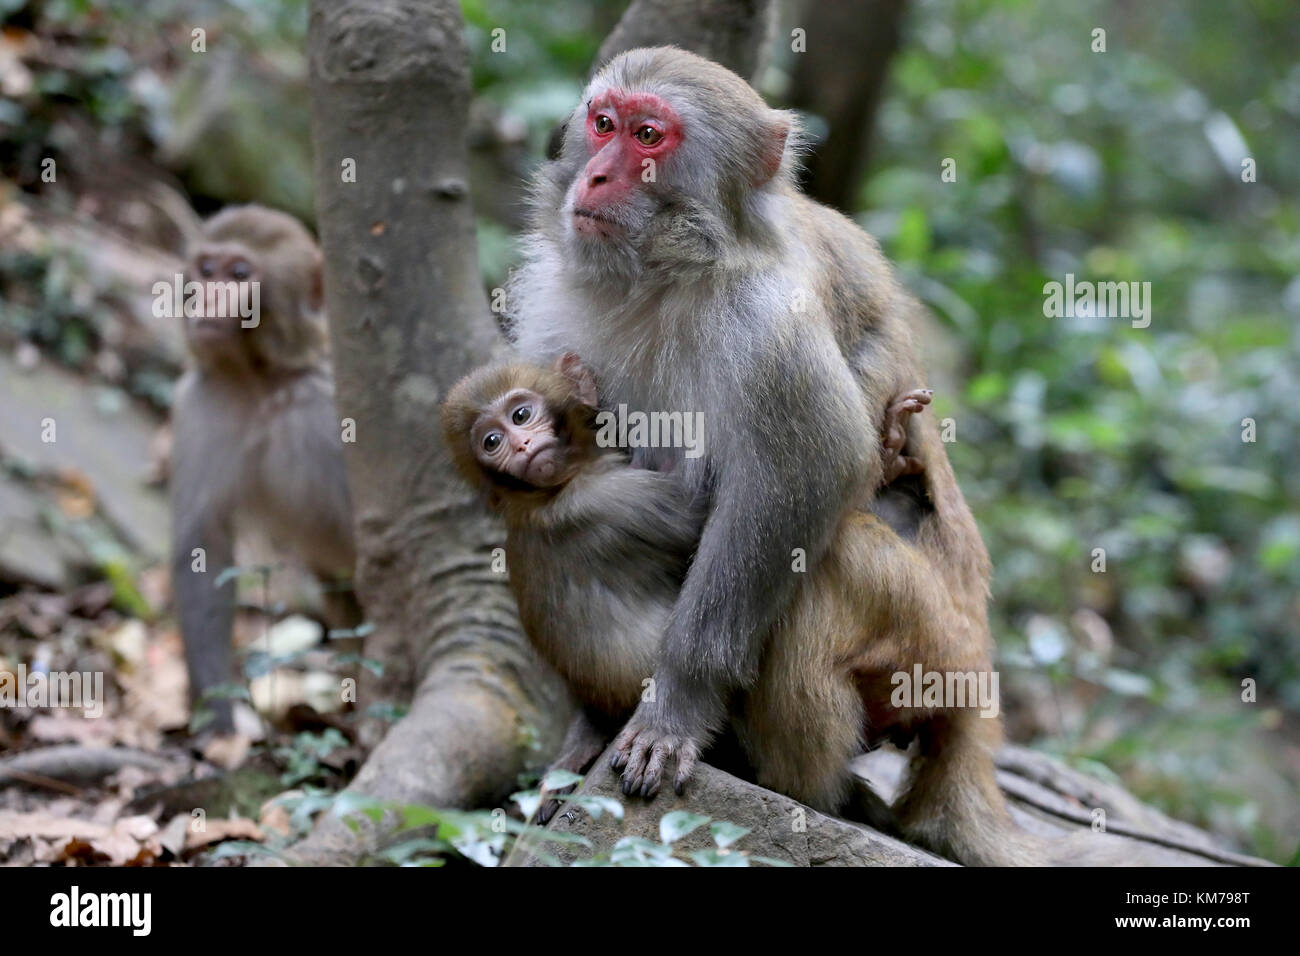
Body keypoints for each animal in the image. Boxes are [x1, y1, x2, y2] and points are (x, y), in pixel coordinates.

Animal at [169, 204, 361, 733]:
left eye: (239, 274)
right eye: (206, 269)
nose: (207, 296)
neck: (262, 380)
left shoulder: (328, 404)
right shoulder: (202, 401)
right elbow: (203, 544)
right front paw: (217, 715)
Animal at [440, 355, 937, 827]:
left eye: (520, 414)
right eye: (491, 442)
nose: (520, 446)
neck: (537, 497)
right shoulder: (618, 500)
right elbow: (719, 517)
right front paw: (890, 450)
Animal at [503, 48, 1124, 865]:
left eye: (648, 137)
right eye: (602, 122)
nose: (597, 175)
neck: (665, 275)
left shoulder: (769, 321)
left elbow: (805, 474)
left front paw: (675, 707)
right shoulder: (552, 296)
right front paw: (585, 732)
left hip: (932, 644)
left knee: (825, 562)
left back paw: (809, 793)